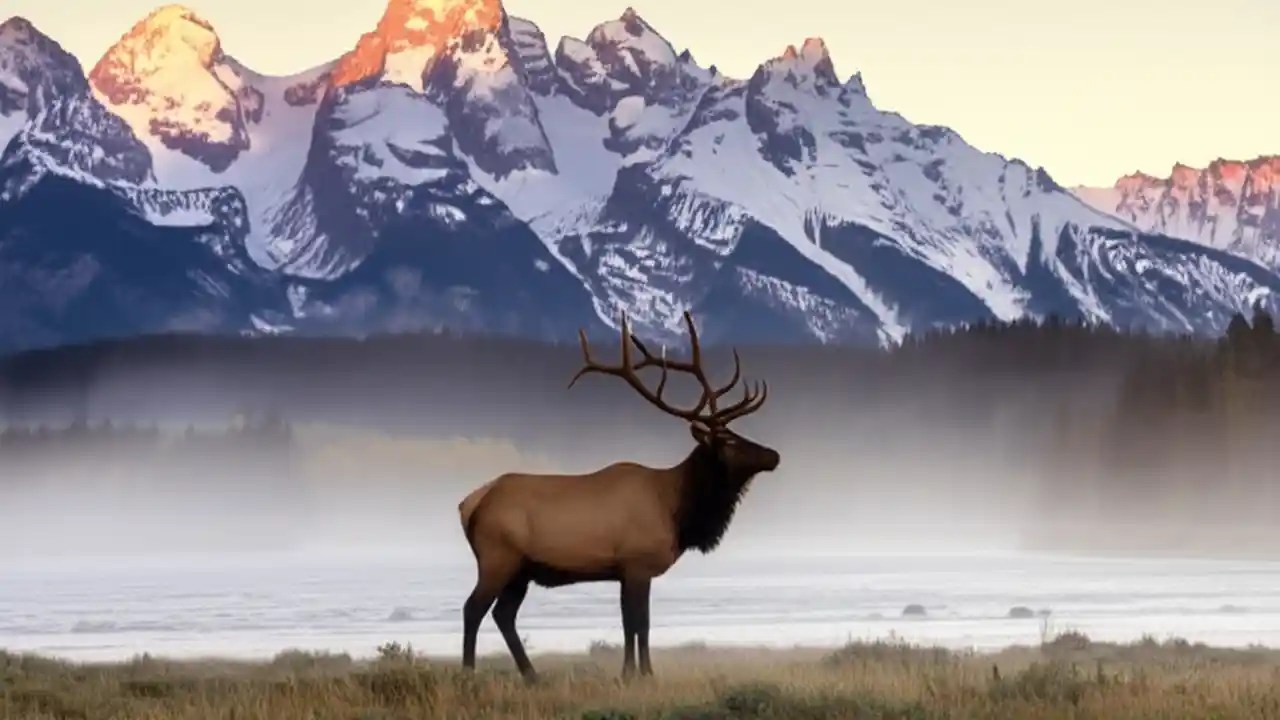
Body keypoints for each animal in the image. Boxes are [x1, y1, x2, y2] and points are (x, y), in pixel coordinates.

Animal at [456, 311, 779, 682]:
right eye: (730, 442)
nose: (774, 455)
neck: (678, 511)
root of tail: (469, 504)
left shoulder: (629, 570)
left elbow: (635, 624)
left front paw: (636, 672)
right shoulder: (637, 563)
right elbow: (638, 623)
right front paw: (639, 674)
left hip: (520, 570)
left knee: (503, 615)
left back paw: (533, 676)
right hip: (497, 557)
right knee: (473, 609)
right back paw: (469, 674)